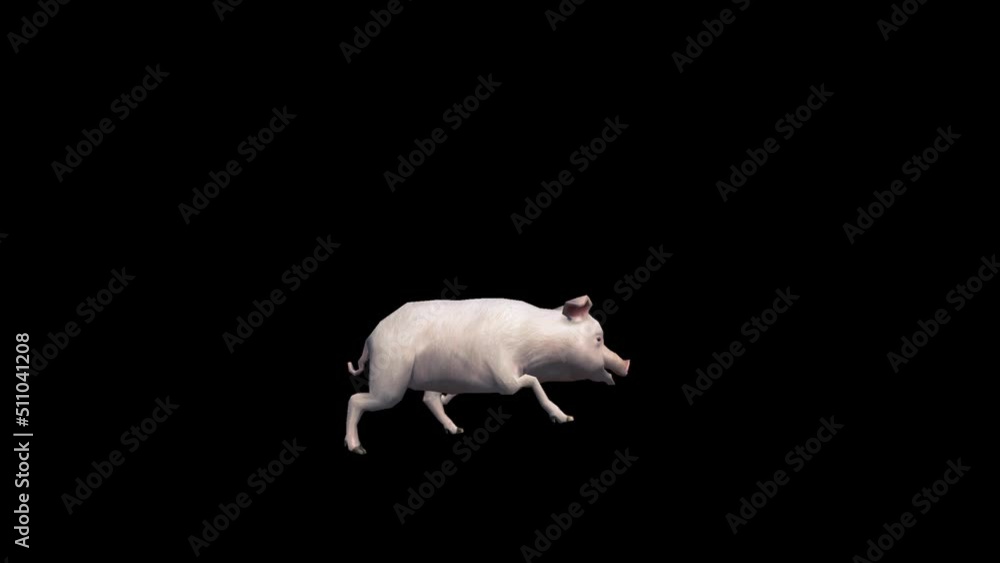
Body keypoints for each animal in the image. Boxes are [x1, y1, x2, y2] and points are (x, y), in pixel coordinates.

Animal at [344, 295, 630, 454]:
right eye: (598, 339)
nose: (626, 363)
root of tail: (371, 337)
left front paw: (450, 398)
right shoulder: (504, 375)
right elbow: (531, 382)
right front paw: (567, 418)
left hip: (427, 376)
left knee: (429, 399)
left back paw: (457, 429)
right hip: (390, 379)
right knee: (356, 400)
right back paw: (357, 449)